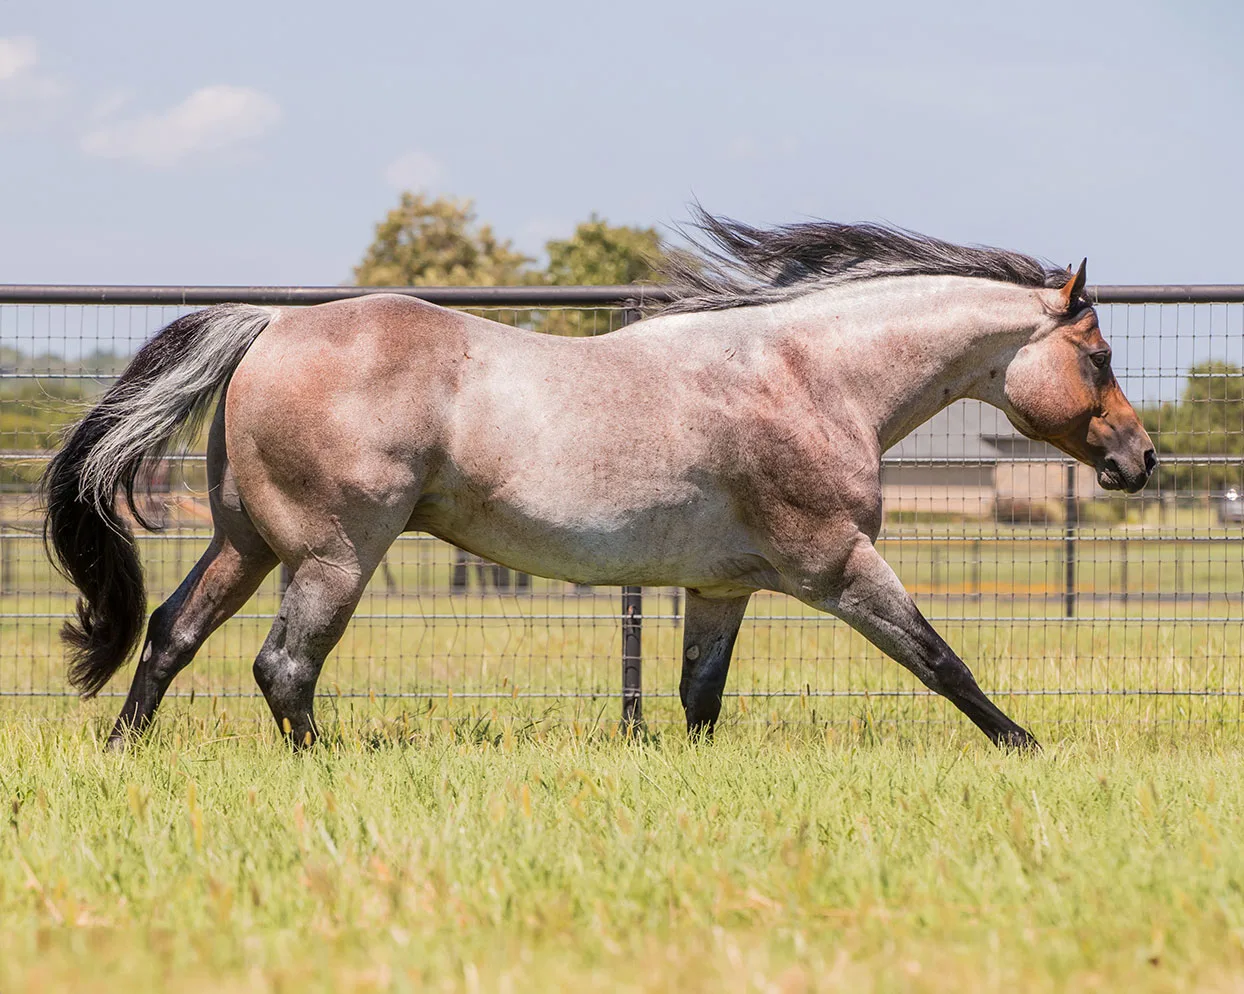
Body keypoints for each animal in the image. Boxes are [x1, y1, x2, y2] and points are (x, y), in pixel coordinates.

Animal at [42, 211, 1156, 750]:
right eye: (1098, 359)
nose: (1138, 460)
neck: (805, 374)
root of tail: (271, 322)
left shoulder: (719, 586)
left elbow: (698, 696)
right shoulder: (837, 564)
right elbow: (940, 659)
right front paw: (1024, 745)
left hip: (246, 541)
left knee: (172, 634)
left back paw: (121, 753)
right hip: (331, 555)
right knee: (283, 668)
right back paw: (321, 764)